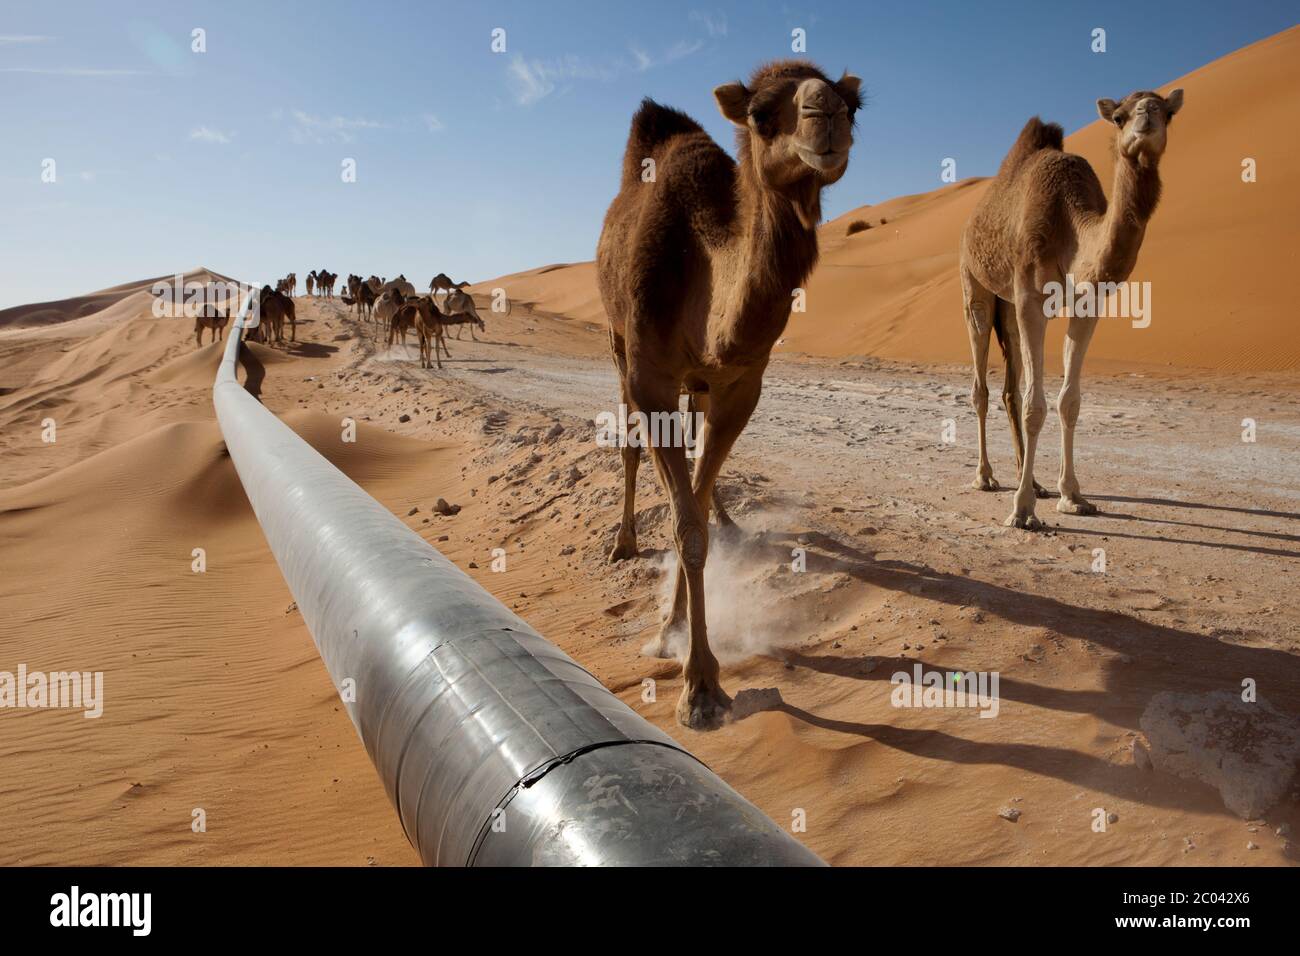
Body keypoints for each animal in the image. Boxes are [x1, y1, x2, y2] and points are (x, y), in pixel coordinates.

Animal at [596, 60, 861, 728]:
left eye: (854, 104)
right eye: (762, 113)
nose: (828, 115)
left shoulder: (742, 383)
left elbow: (695, 513)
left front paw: (675, 629)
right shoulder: (650, 377)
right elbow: (683, 525)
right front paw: (698, 685)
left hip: (700, 385)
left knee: (698, 467)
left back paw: (726, 517)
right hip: (617, 343)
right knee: (631, 446)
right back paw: (623, 541)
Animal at [960, 88, 1184, 530]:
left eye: (1168, 111)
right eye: (1118, 116)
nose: (1147, 116)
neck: (1071, 227)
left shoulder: (1087, 305)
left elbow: (1069, 402)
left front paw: (1072, 496)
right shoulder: (1032, 299)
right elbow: (1036, 406)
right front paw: (1022, 510)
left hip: (1007, 304)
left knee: (1010, 389)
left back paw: (1030, 479)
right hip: (975, 286)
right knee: (981, 385)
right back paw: (987, 477)